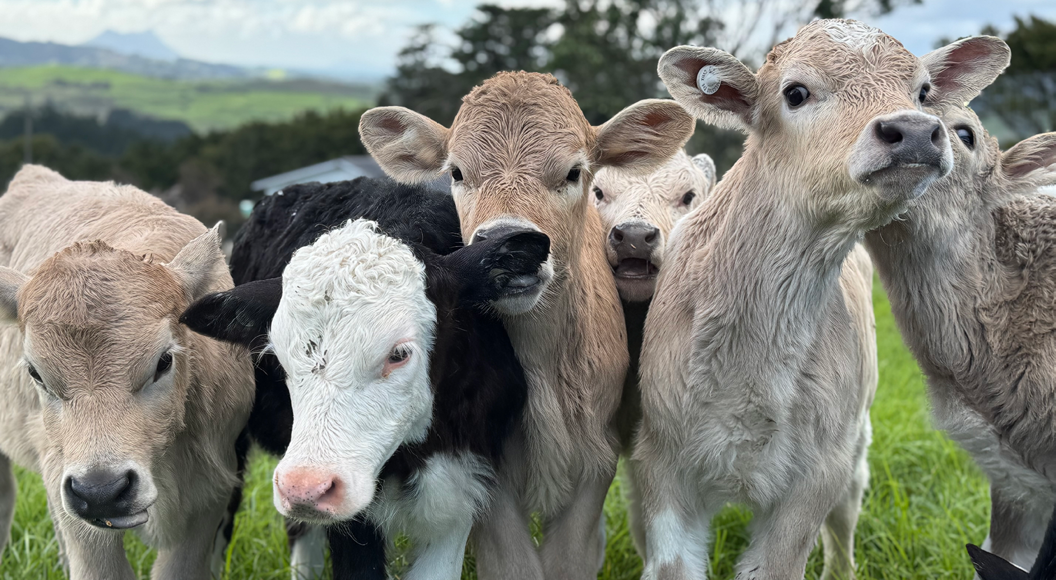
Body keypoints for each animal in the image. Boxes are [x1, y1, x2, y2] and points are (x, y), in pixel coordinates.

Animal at [634, 20, 1009, 580]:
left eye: (923, 93)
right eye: (795, 92)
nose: (914, 131)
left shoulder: (816, 476)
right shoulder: (661, 467)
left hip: (856, 448)